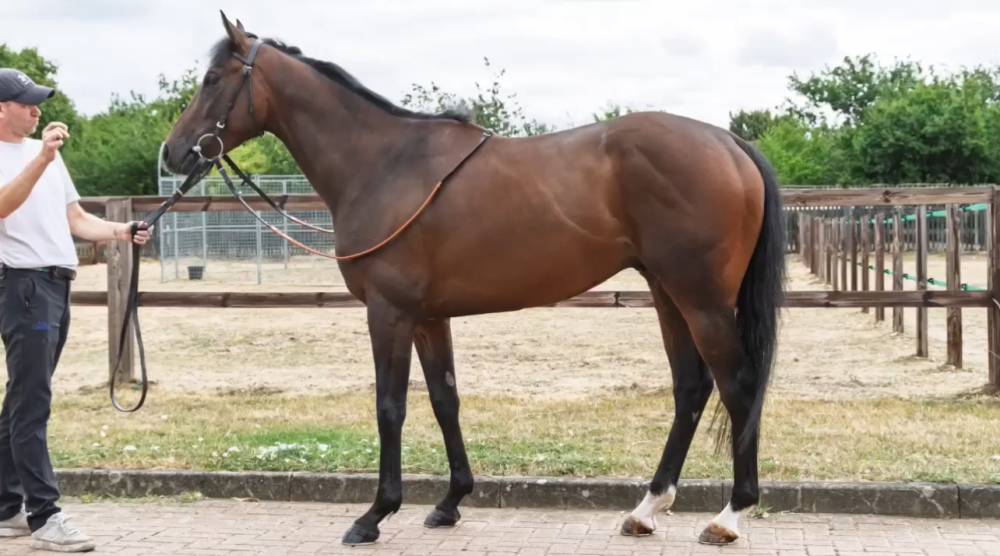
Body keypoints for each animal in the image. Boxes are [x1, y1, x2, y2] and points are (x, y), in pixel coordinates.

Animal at [162, 13, 785, 547]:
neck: (384, 164)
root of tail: (730, 142)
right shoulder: (428, 317)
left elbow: (390, 406)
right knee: (691, 388)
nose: (174, 153)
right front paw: (450, 502)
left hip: (701, 300)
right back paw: (647, 509)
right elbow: (445, 399)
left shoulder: (388, 312)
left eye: (212, 79)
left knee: (737, 386)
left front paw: (374, 514)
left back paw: (729, 516)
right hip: (666, 292)